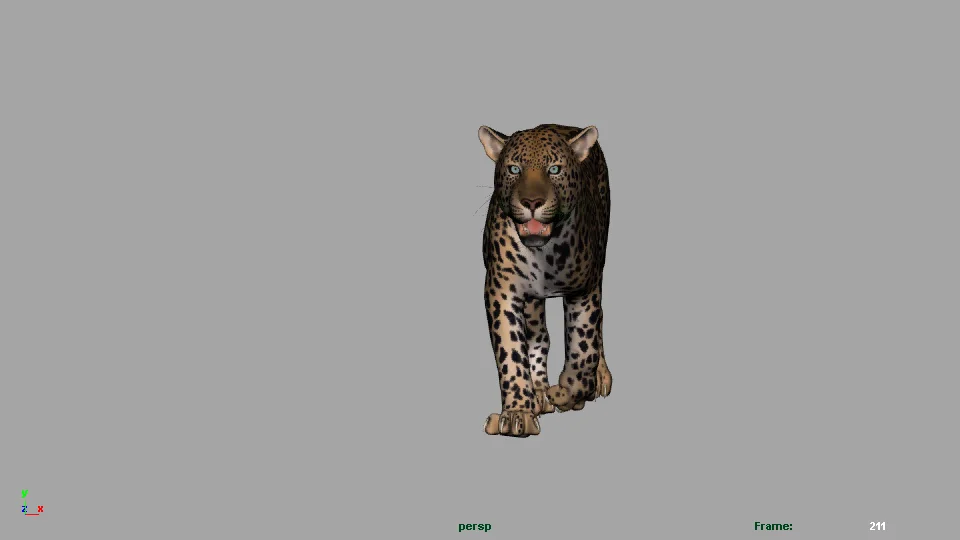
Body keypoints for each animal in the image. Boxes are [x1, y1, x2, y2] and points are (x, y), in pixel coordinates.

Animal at [477, 124, 613, 437]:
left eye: (554, 169)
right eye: (514, 168)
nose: (531, 202)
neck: (545, 255)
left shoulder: (584, 288)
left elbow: (583, 345)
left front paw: (568, 392)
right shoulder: (501, 290)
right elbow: (512, 350)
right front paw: (518, 412)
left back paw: (597, 378)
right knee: (539, 336)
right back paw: (538, 392)